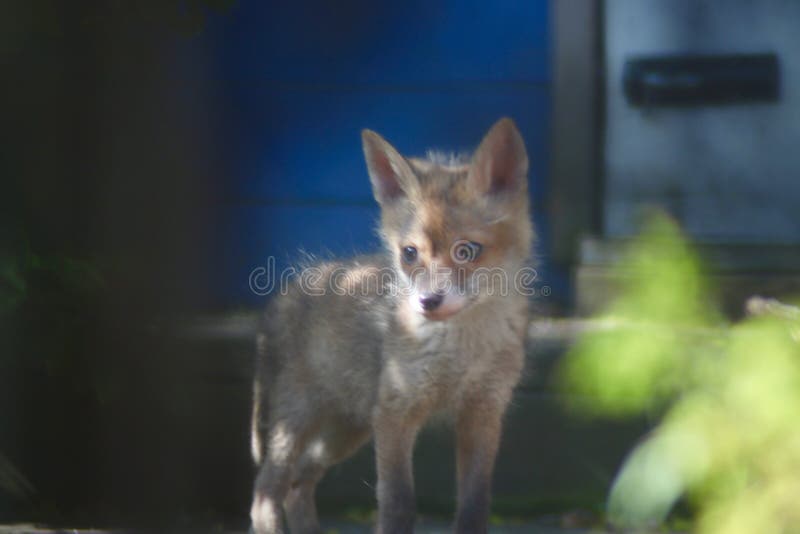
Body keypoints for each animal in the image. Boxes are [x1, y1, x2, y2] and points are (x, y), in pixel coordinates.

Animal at [250, 117, 534, 534]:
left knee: (298, 484)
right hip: (300, 420)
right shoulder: (395, 413)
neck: (459, 353)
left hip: (345, 432)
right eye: (409, 253)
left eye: (467, 251)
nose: (428, 302)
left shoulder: (482, 413)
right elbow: (398, 503)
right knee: (266, 490)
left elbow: (474, 505)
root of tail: (283, 295)